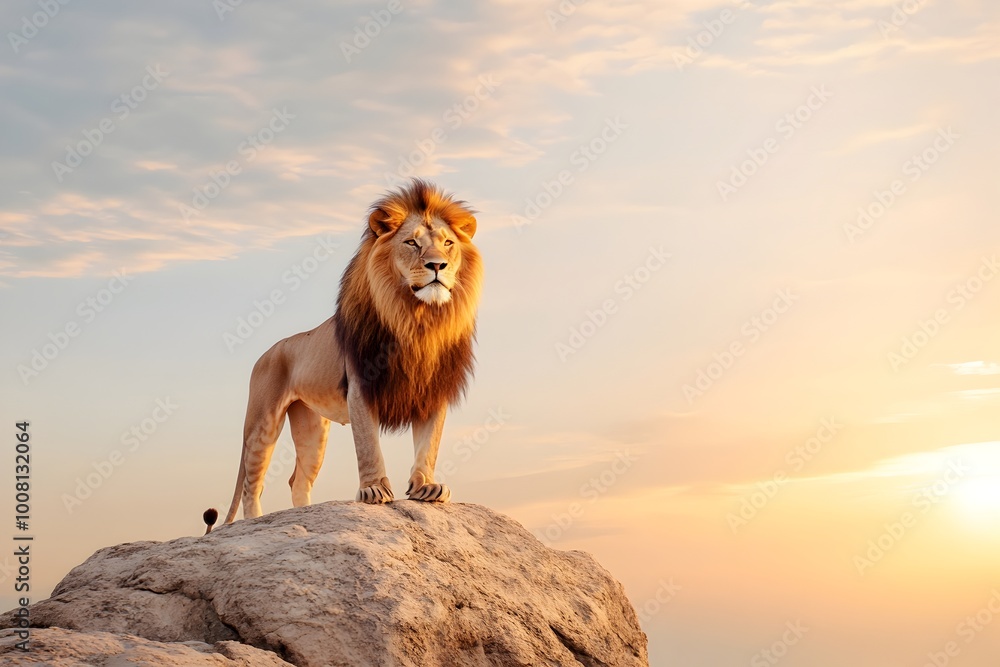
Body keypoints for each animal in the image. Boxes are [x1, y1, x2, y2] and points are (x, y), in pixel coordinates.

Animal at [207, 180, 482, 529]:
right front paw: (374, 490)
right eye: (411, 243)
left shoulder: (432, 391)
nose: (437, 265)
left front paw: (426, 486)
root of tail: (266, 352)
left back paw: (305, 515)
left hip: (312, 428)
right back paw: (256, 521)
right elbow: (368, 445)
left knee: (298, 480)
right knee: (251, 484)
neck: (417, 320)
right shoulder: (360, 386)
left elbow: (428, 444)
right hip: (262, 423)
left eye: (448, 243)